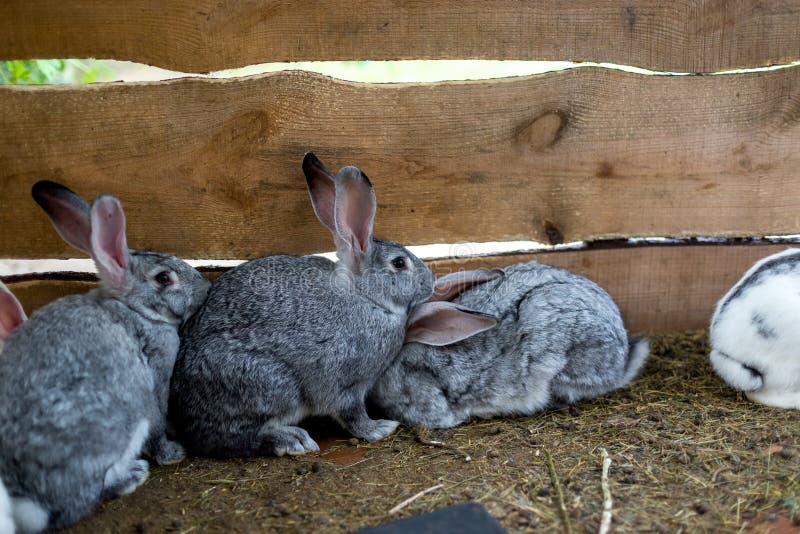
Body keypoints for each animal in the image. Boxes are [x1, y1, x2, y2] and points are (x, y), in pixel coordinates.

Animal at [0, 181, 210, 533]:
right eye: (164, 278)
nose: (207, 288)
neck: (134, 310)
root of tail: (28, 498)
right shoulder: (156, 372)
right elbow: (158, 417)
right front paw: (172, 453)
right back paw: (132, 476)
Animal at [169, 153, 436, 458]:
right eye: (399, 263)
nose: (431, 282)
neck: (365, 297)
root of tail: (182, 411)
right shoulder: (345, 383)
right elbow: (352, 413)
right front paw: (379, 428)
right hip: (273, 384)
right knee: (232, 438)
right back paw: (291, 440)